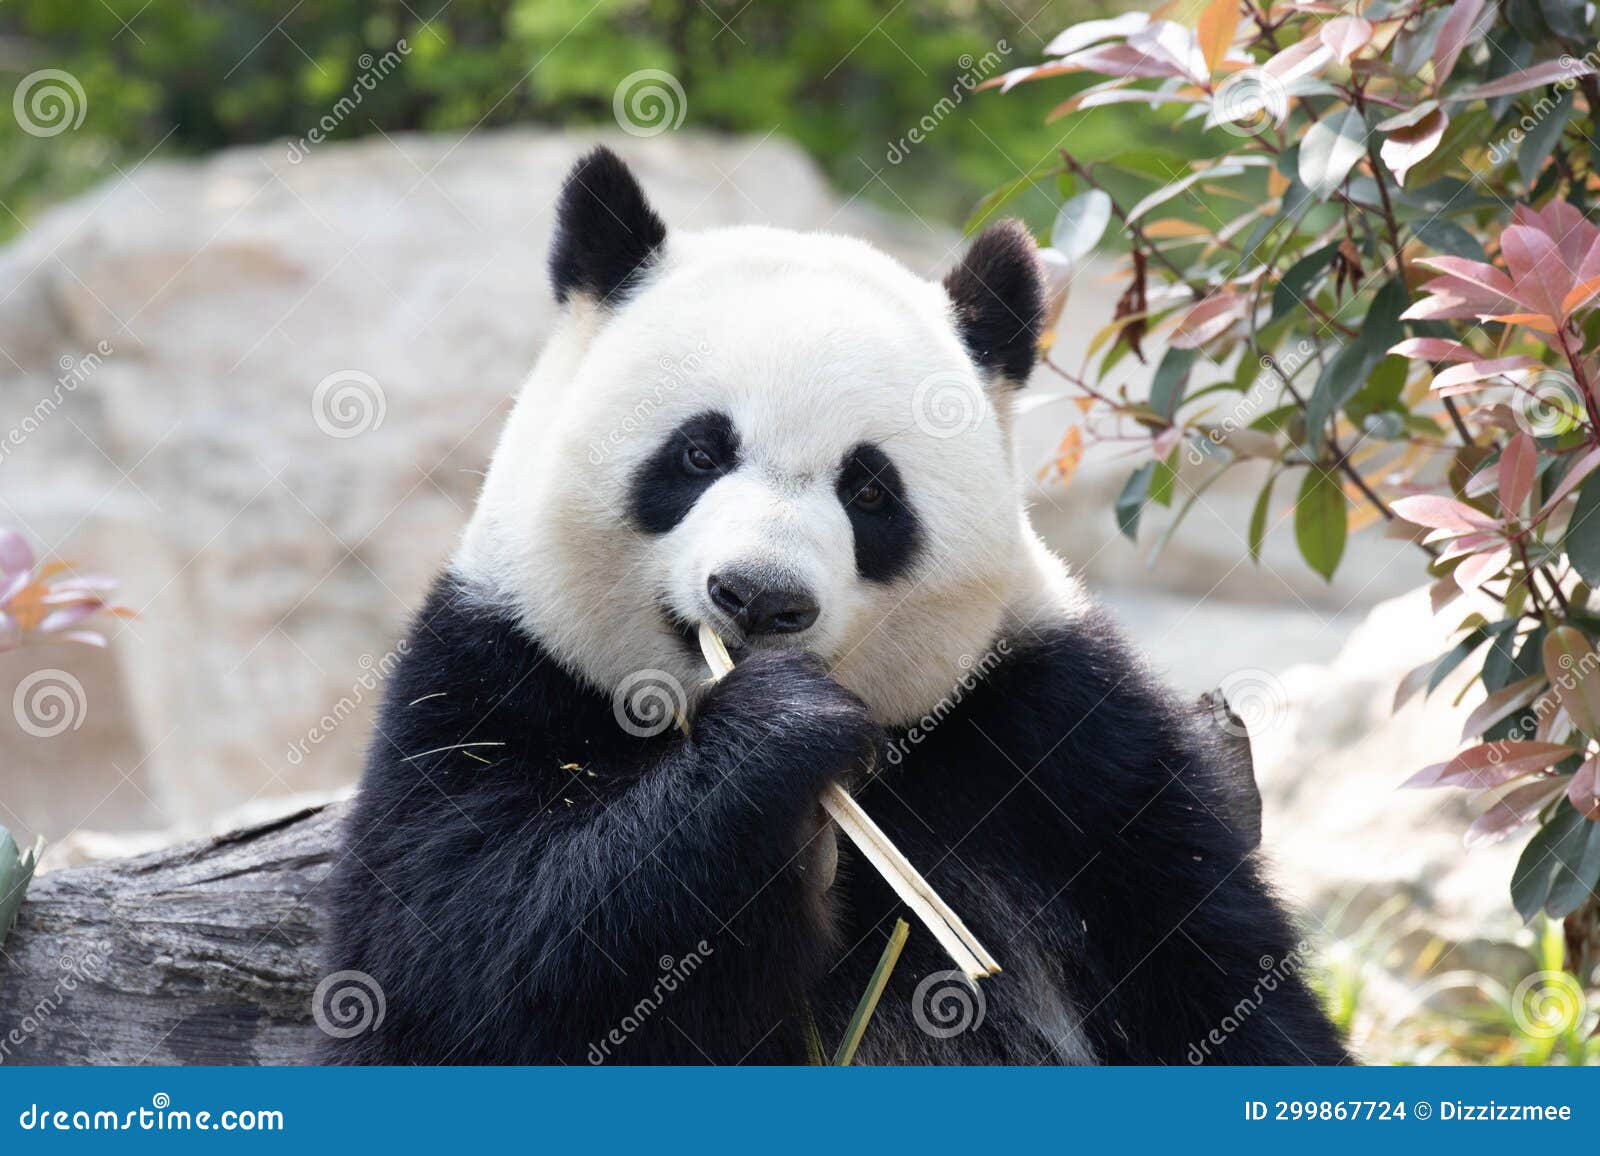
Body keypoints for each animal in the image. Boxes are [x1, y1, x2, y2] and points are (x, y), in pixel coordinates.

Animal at [318, 146, 1348, 1066]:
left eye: (870, 490)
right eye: (699, 452)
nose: (759, 598)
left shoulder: (1057, 731)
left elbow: (1209, 966)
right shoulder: (490, 672)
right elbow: (455, 964)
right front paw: (779, 734)